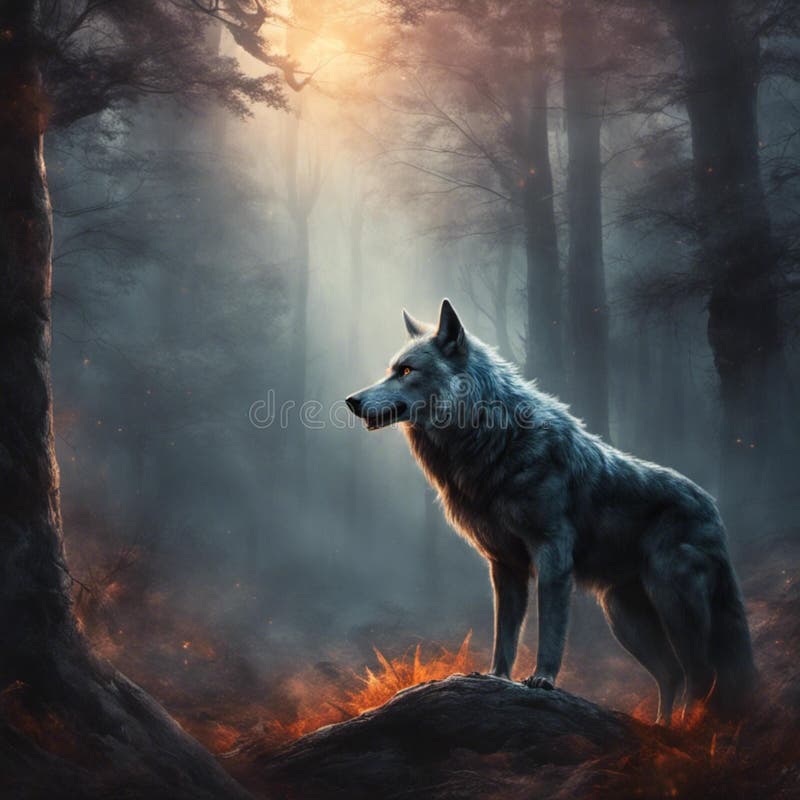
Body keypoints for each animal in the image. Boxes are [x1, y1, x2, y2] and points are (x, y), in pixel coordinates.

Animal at [345, 299, 757, 723]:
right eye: (392, 369)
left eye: (406, 371)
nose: (352, 401)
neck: (491, 438)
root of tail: (713, 509)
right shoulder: (504, 565)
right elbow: (505, 636)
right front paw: (495, 678)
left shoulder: (552, 554)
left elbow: (550, 629)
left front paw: (542, 679)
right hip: (625, 619)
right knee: (673, 674)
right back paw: (662, 730)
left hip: (673, 606)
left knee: (702, 675)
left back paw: (688, 730)